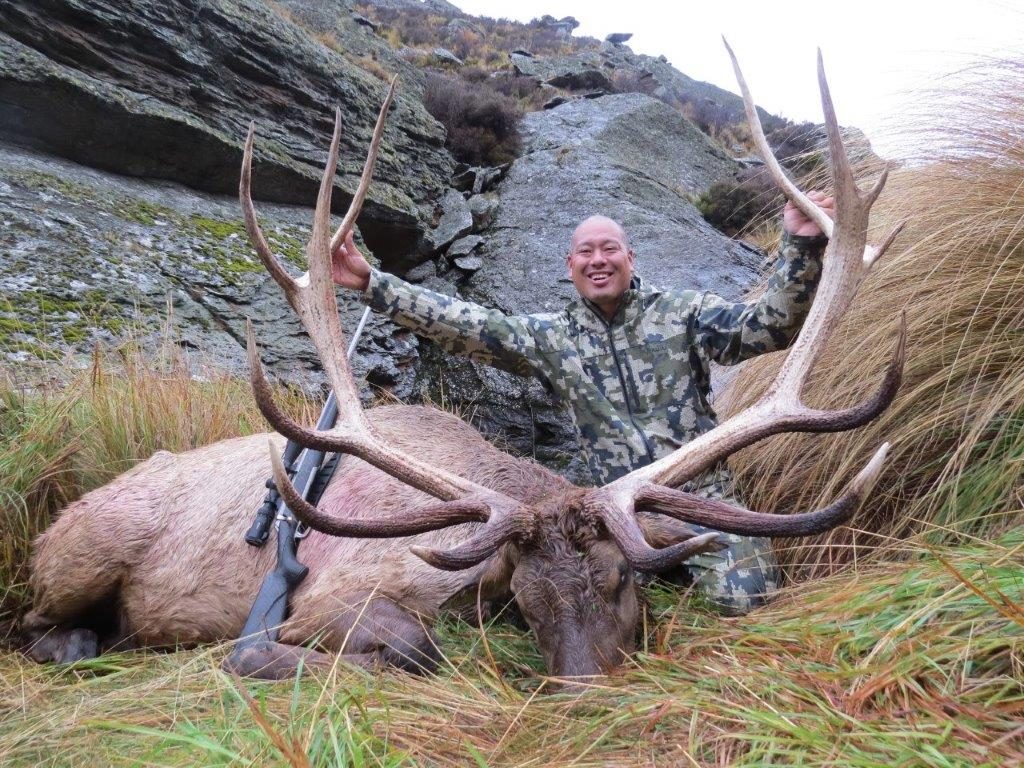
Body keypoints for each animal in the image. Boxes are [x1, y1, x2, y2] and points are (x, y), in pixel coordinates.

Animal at [21, 45, 906, 685]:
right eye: (526, 597)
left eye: (622, 579)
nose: (581, 686)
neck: (467, 585)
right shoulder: (328, 590)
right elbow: (407, 646)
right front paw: (279, 660)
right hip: (81, 551)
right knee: (31, 620)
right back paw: (79, 644)